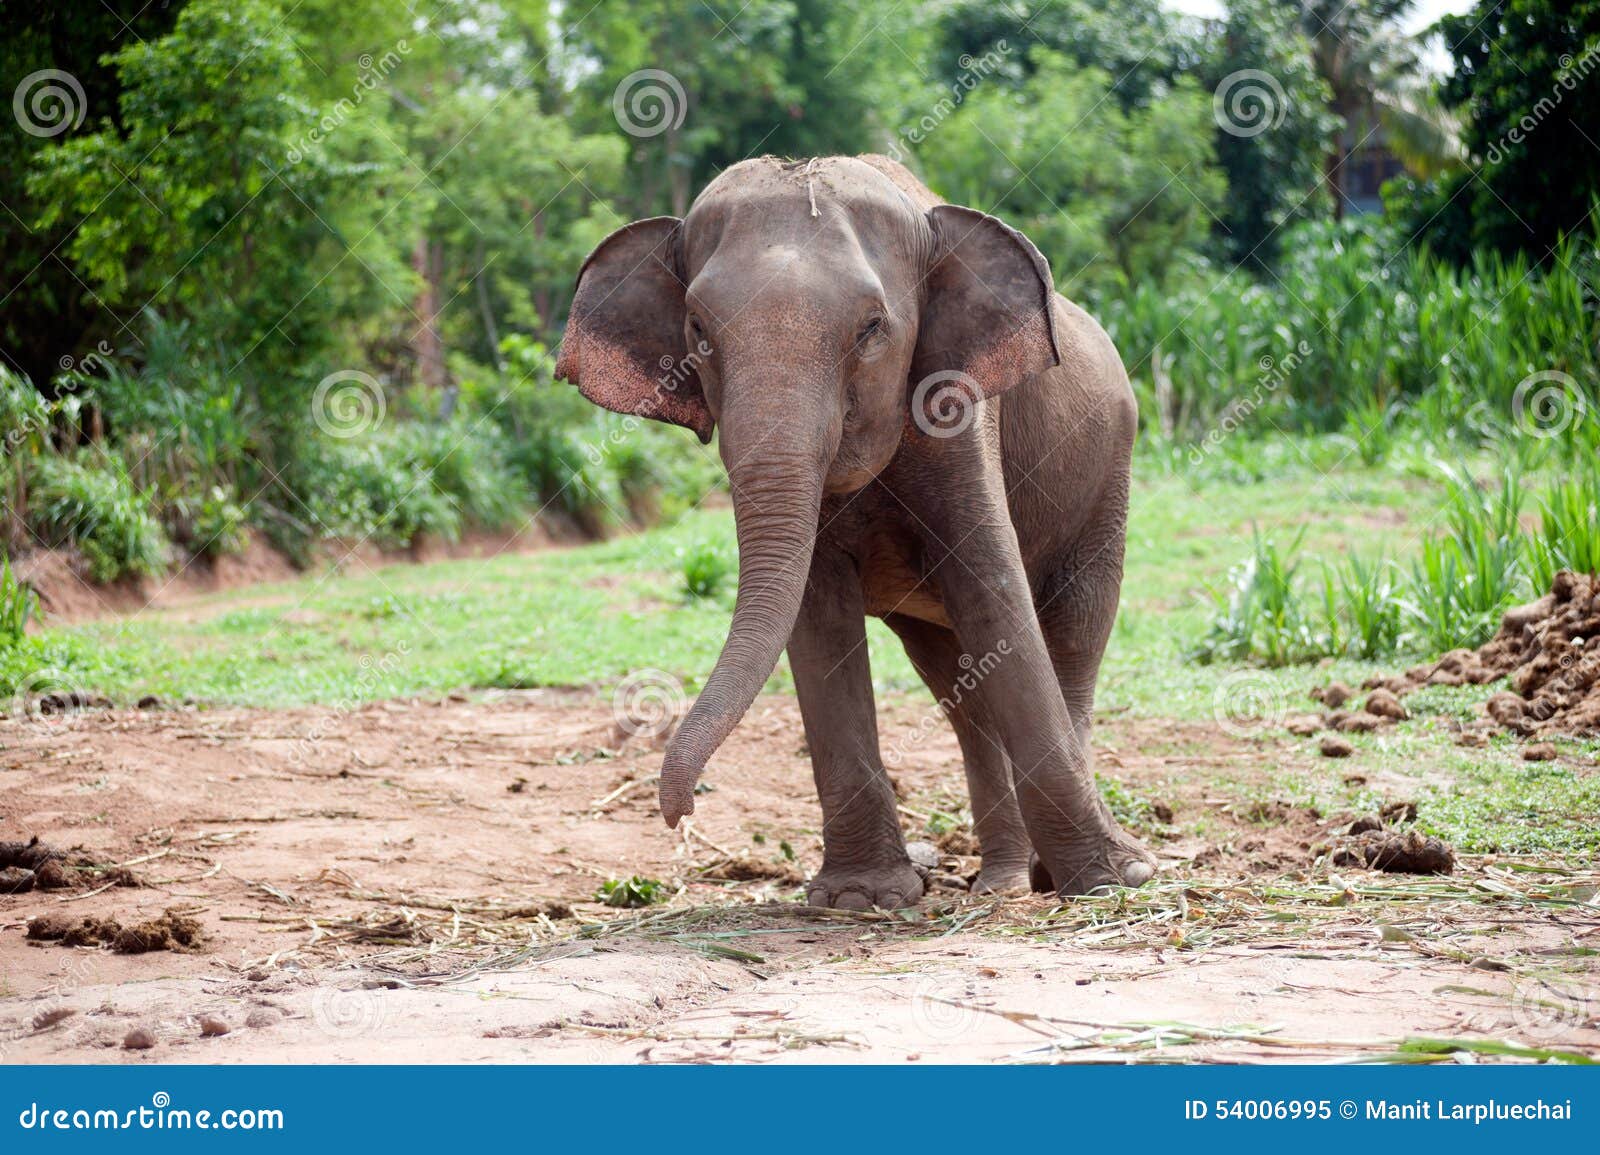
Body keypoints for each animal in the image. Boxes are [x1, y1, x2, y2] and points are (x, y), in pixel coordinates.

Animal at [557, 154, 1156, 908]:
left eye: (872, 327)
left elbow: (992, 591)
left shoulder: (961, 417)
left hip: (1108, 479)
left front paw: (1117, 882)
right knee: (958, 685)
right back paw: (1001, 882)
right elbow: (819, 618)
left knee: (1074, 635)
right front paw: (860, 898)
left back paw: (1053, 877)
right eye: (696, 329)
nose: (679, 811)